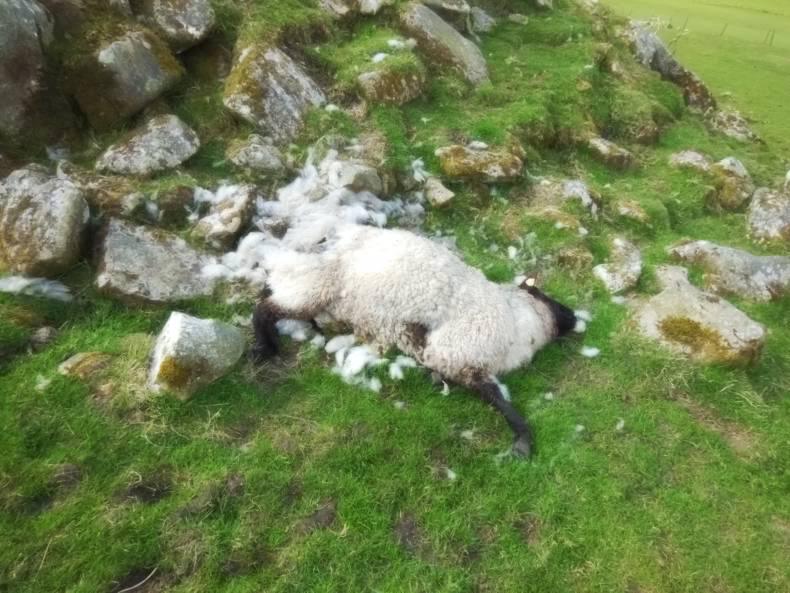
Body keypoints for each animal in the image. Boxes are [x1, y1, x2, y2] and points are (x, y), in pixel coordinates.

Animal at [252, 223, 578, 458]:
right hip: (318, 283)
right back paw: (264, 349)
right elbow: (501, 402)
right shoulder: (462, 359)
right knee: (264, 306)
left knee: (272, 294)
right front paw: (522, 443)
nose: (576, 317)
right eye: (551, 298)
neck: (516, 324)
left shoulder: (449, 360)